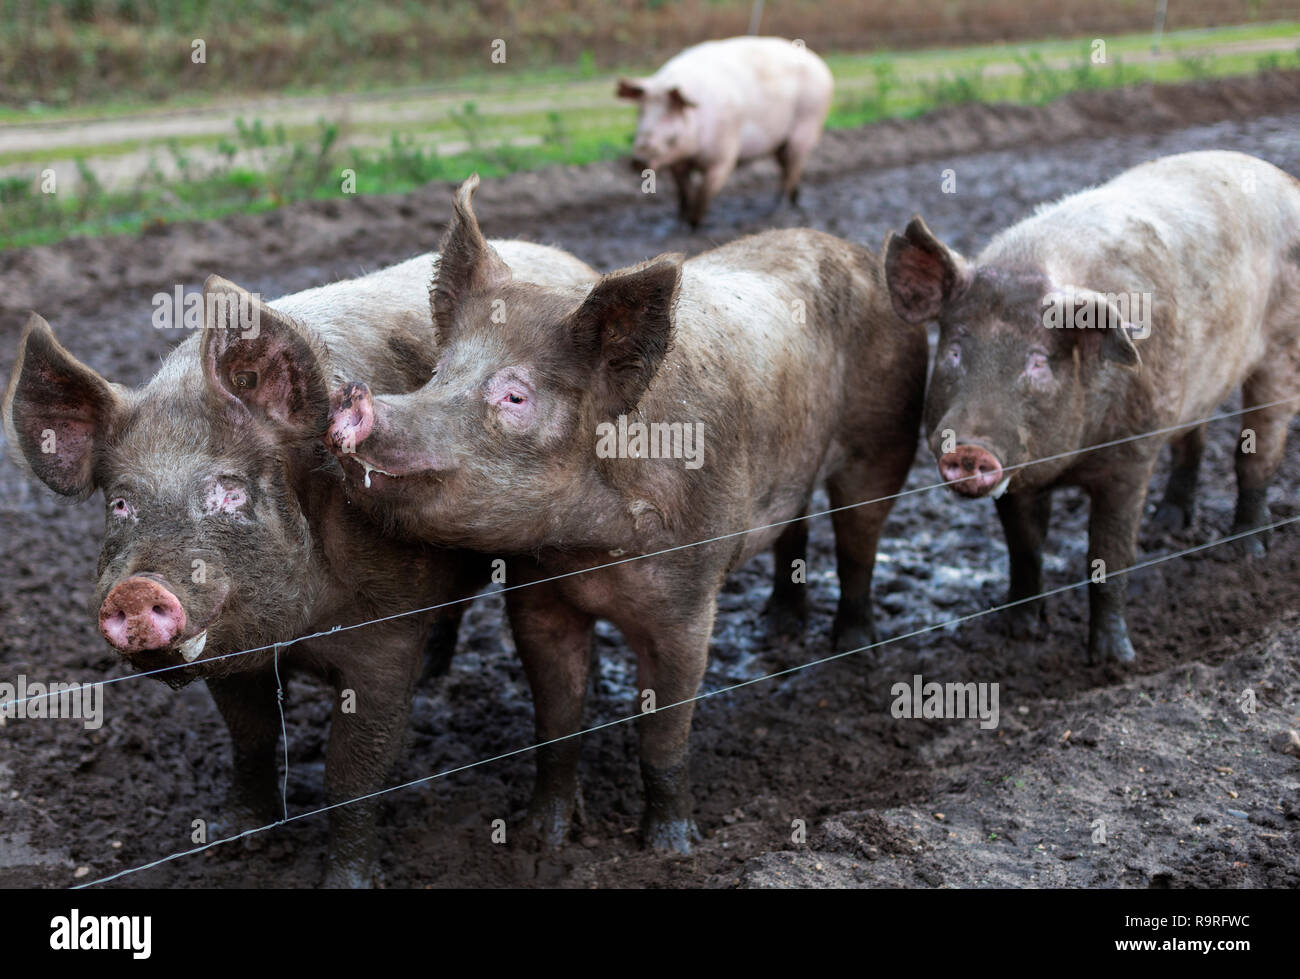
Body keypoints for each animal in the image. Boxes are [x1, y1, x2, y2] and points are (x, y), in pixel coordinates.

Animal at [2, 241, 598, 886]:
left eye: (230, 491)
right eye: (119, 504)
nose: (136, 590)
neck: (298, 632)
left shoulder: (387, 631)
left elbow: (353, 772)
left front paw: (345, 880)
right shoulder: (234, 650)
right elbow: (252, 736)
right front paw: (231, 844)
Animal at [323, 175, 928, 852]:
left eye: (515, 396)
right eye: (437, 373)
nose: (353, 402)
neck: (589, 552)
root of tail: (847, 247)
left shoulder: (689, 603)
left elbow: (664, 736)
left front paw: (670, 847)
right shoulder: (537, 599)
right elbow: (556, 726)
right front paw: (540, 837)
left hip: (885, 435)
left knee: (858, 538)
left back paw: (854, 648)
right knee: (793, 528)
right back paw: (779, 628)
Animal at [616, 36, 834, 228]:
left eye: (669, 114)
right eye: (641, 111)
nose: (639, 159)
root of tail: (821, 65)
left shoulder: (722, 156)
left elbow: (704, 192)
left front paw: (694, 225)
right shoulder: (676, 163)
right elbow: (684, 192)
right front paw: (679, 222)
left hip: (808, 122)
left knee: (792, 167)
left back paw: (779, 208)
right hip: (784, 140)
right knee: (788, 166)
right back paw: (792, 201)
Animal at [883, 150, 1300, 664]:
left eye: (1038, 362)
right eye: (955, 351)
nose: (969, 448)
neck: (1068, 464)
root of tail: (1280, 177)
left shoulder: (1133, 456)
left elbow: (1109, 555)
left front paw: (1112, 662)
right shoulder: (1019, 472)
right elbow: (1024, 547)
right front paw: (1017, 631)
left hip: (1282, 350)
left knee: (1259, 450)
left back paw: (1246, 550)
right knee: (1193, 439)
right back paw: (1167, 526)